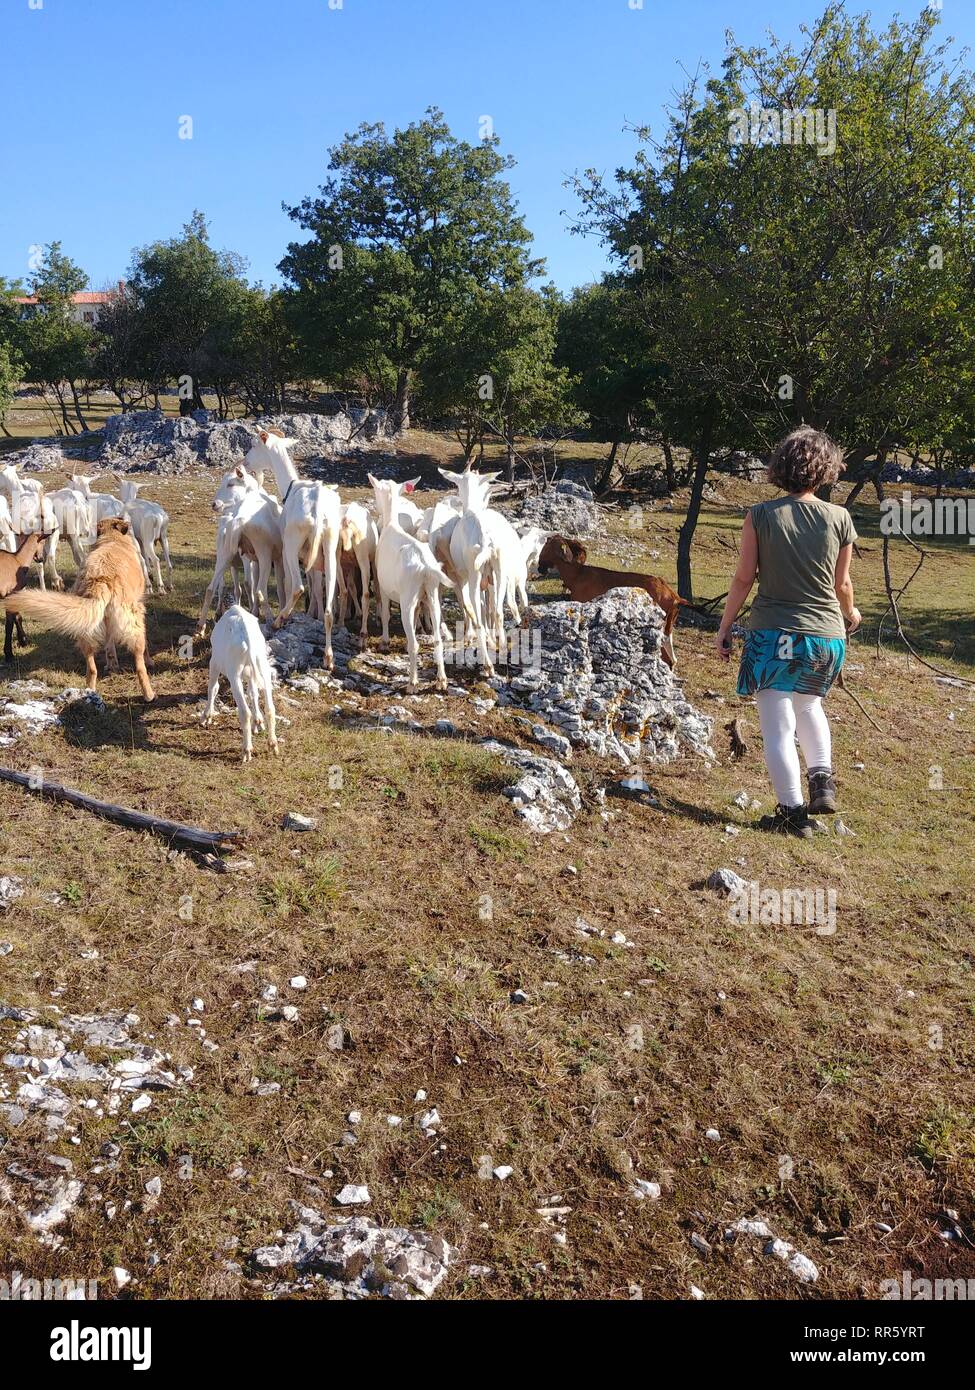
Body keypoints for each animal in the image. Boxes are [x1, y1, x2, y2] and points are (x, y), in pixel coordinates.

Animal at [0, 532, 50, 661]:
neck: (18, 559)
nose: (41, 558)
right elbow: (9, 624)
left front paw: (23, 641)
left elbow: (17, 617)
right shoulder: (11, 594)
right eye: (43, 542)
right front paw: (9, 654)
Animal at [202, 604, 279, 763]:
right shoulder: (251, 674)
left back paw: (246, 750)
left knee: (244, 712)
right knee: (270, 707)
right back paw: (273, 744)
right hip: (263, 666)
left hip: (234, 674)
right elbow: (253, 693)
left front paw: (207, 717)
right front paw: (258, 721)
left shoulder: (214, 662)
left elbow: (213, 687)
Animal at [537, 536, 688, 668]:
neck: (578, 575)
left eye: (547, 546)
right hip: (668, 626)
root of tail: (673, 596)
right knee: (671, 658)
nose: (540, 567)